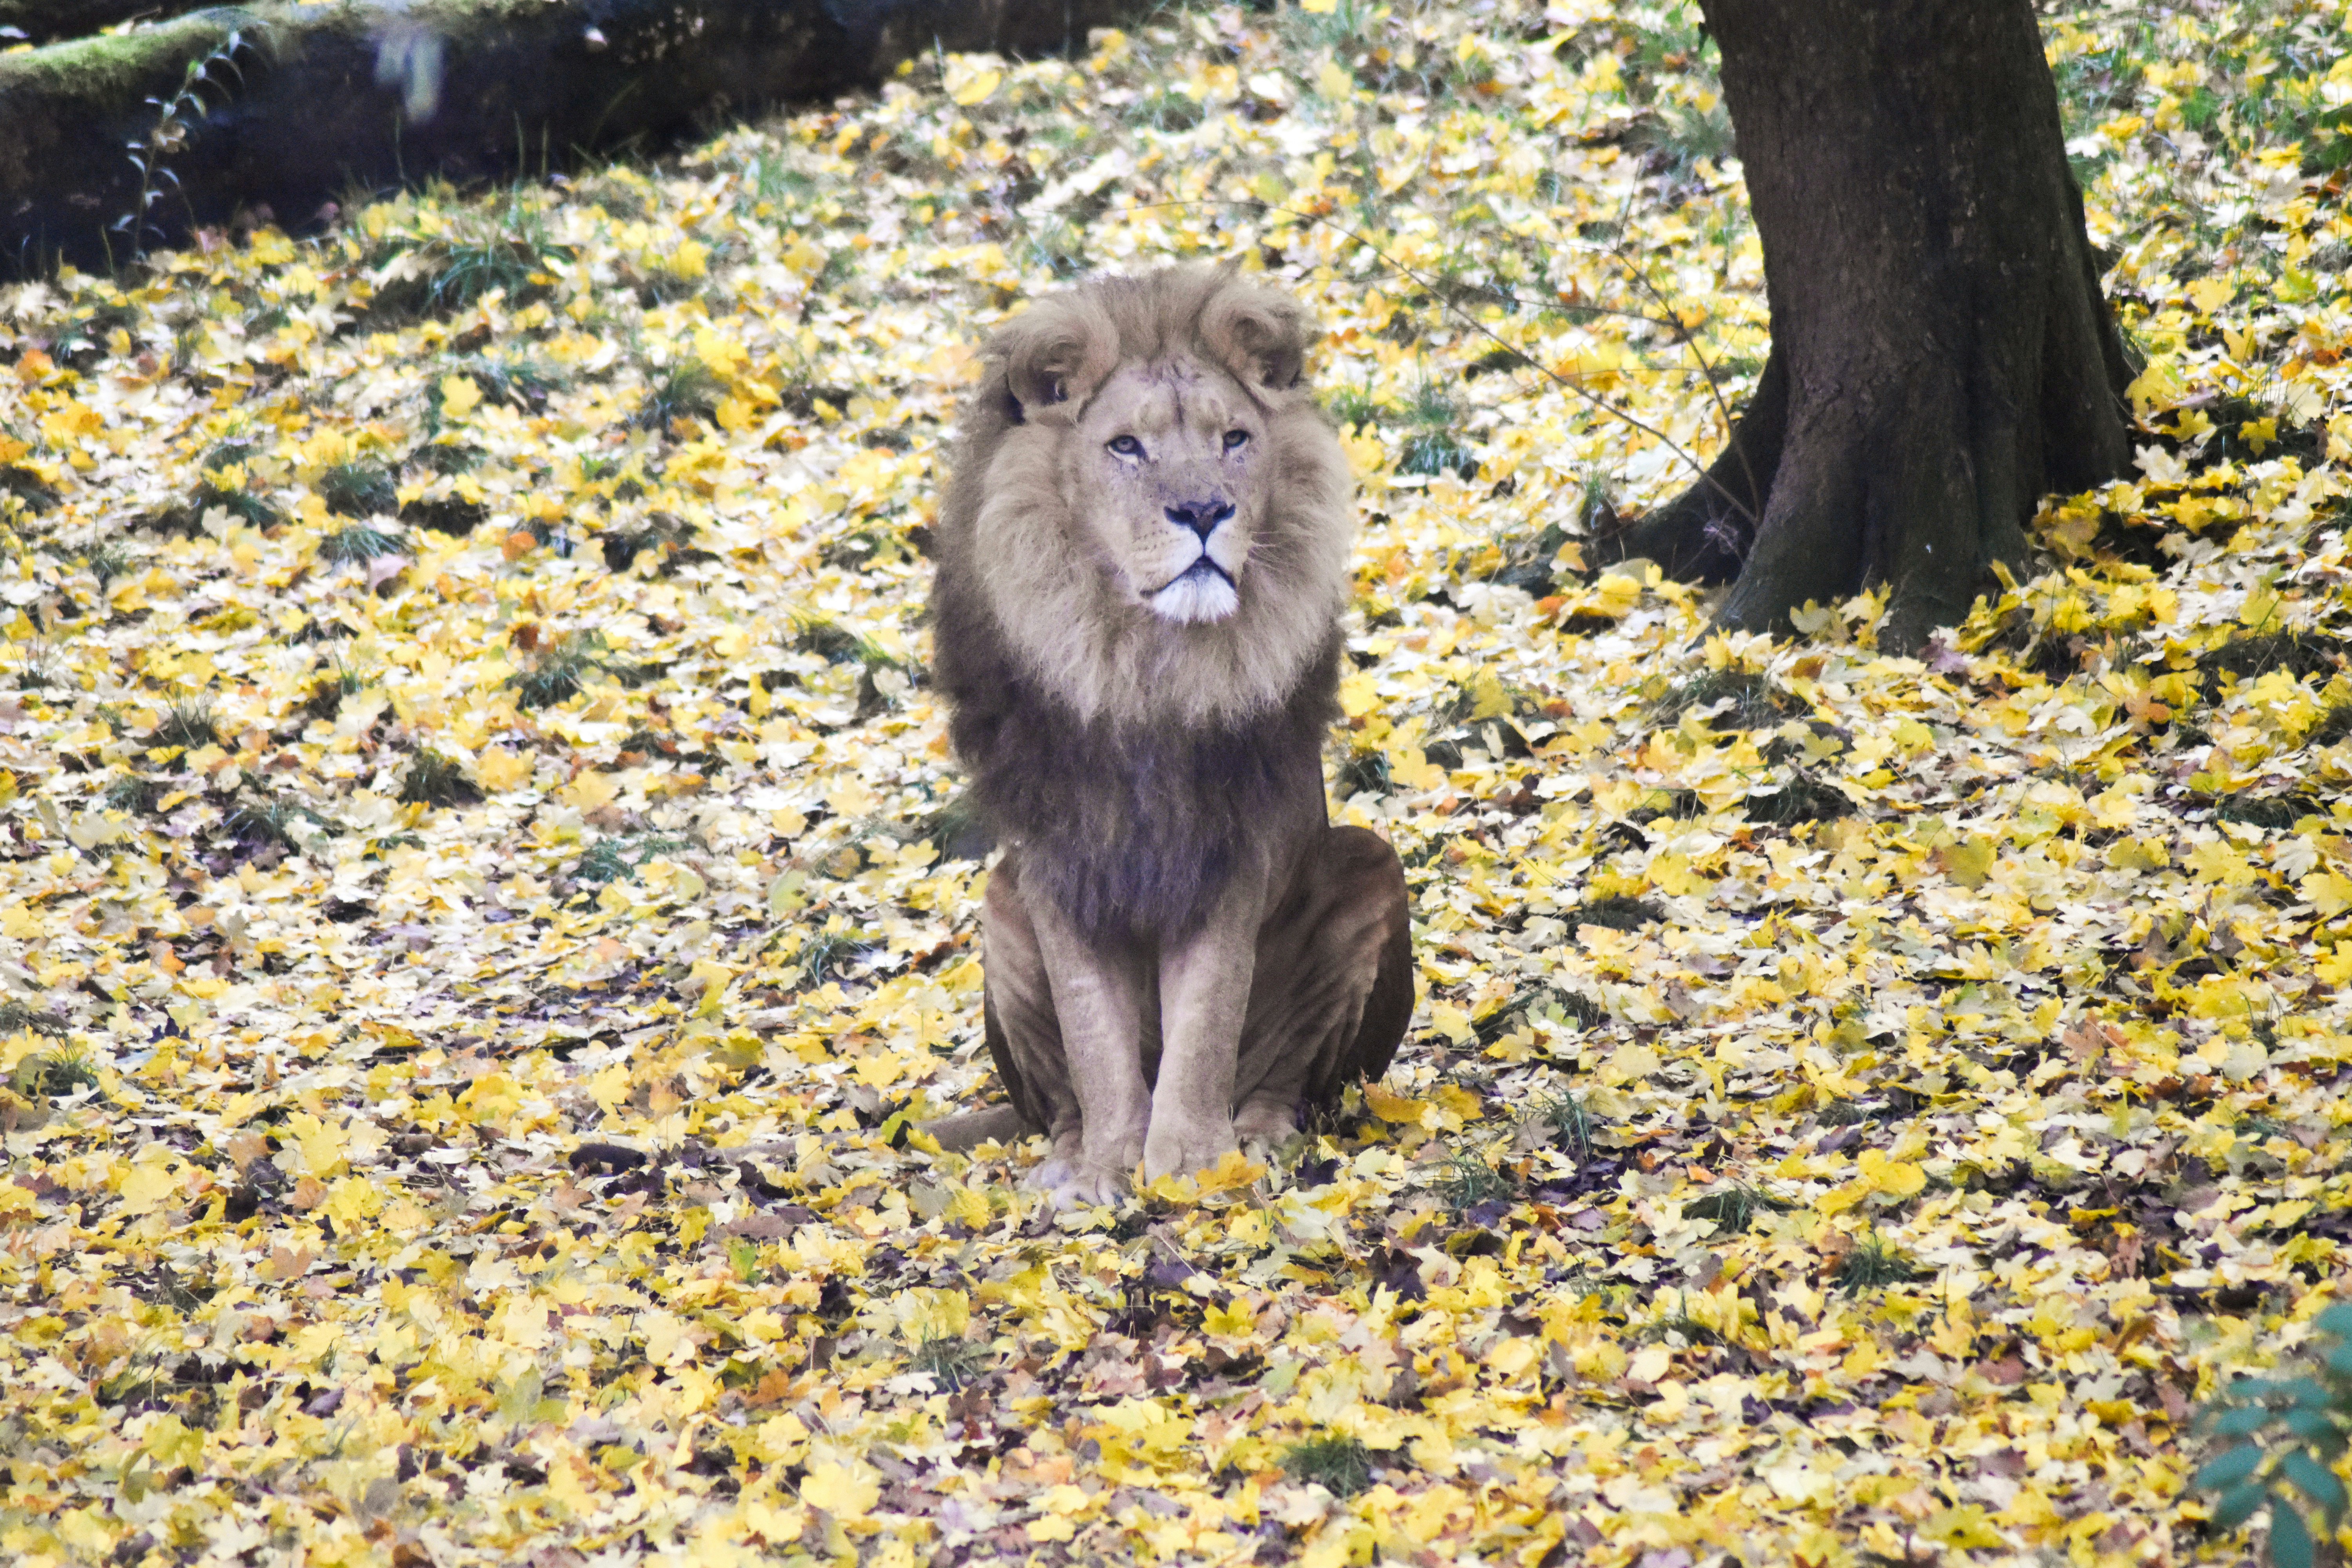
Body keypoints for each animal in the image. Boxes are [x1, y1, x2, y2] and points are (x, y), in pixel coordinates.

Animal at [922, 263, 1414, 1208]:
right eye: (1125, 448)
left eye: (1234, 439)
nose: (1203, 510)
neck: (1143, 662)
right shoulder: (1056, 857)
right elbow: (1093, 1029)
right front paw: (1108, 1169)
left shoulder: (1231, 843)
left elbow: (1208, 1016)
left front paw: (1189, 1166)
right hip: (999, 902)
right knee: (1056, 1104)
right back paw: (1065, 1161)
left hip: (1369, 863)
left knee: (1284, 1079)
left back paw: (1258, 1139)